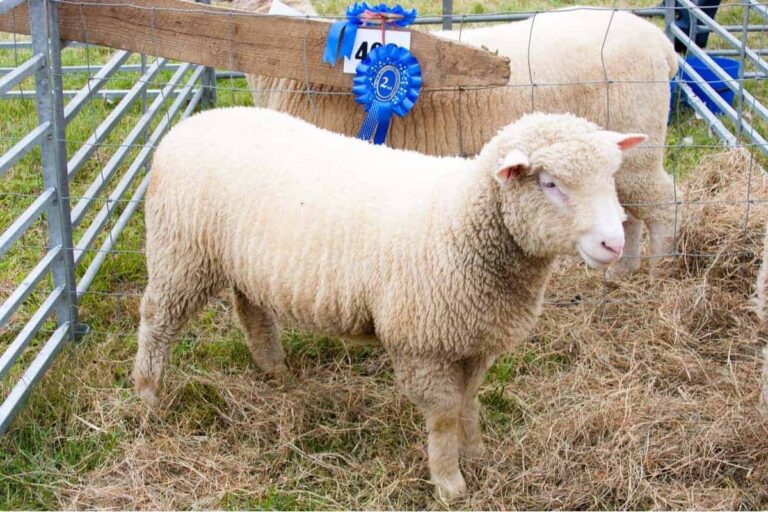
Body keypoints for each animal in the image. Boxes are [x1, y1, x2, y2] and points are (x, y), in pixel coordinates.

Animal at [134, 106, 647, 499]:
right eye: (548, 182)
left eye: (610, 176)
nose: (613, 243)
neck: (461, 221)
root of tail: (189, 123)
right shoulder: (423, 343)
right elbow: (444, 415)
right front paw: (449, 482)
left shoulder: (474, 339)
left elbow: (469, 402)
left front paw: (477, 454)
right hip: (180, 252)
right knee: (157, 320)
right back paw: (149, 396)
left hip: (244, 263)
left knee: (251, 311)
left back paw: (275, 372)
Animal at [238, 4, 679, 278]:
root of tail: (659, 40)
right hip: (614, 160)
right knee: (630, 213)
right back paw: (623, 270)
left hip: (639, 149)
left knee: (663, 203)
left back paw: (660, 271)